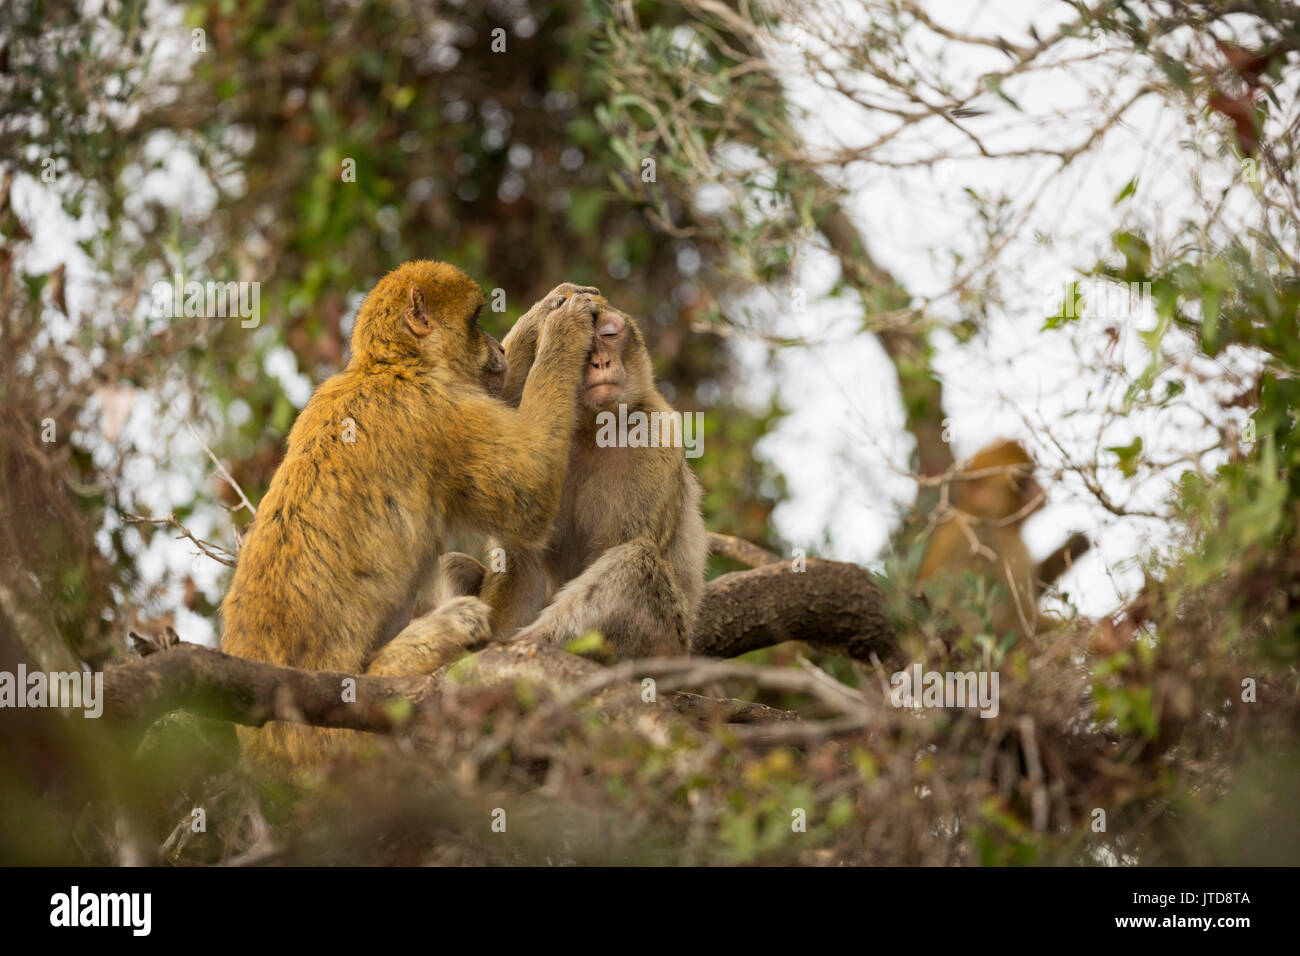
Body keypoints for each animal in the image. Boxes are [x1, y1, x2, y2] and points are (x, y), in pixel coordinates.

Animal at [219, 262, 598, 774]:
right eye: (476, 321)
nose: (498, 348)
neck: (392, 367)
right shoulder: (437, 410)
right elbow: (531, 492)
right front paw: (564, 328)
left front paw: (542, 314)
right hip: (345, 734)